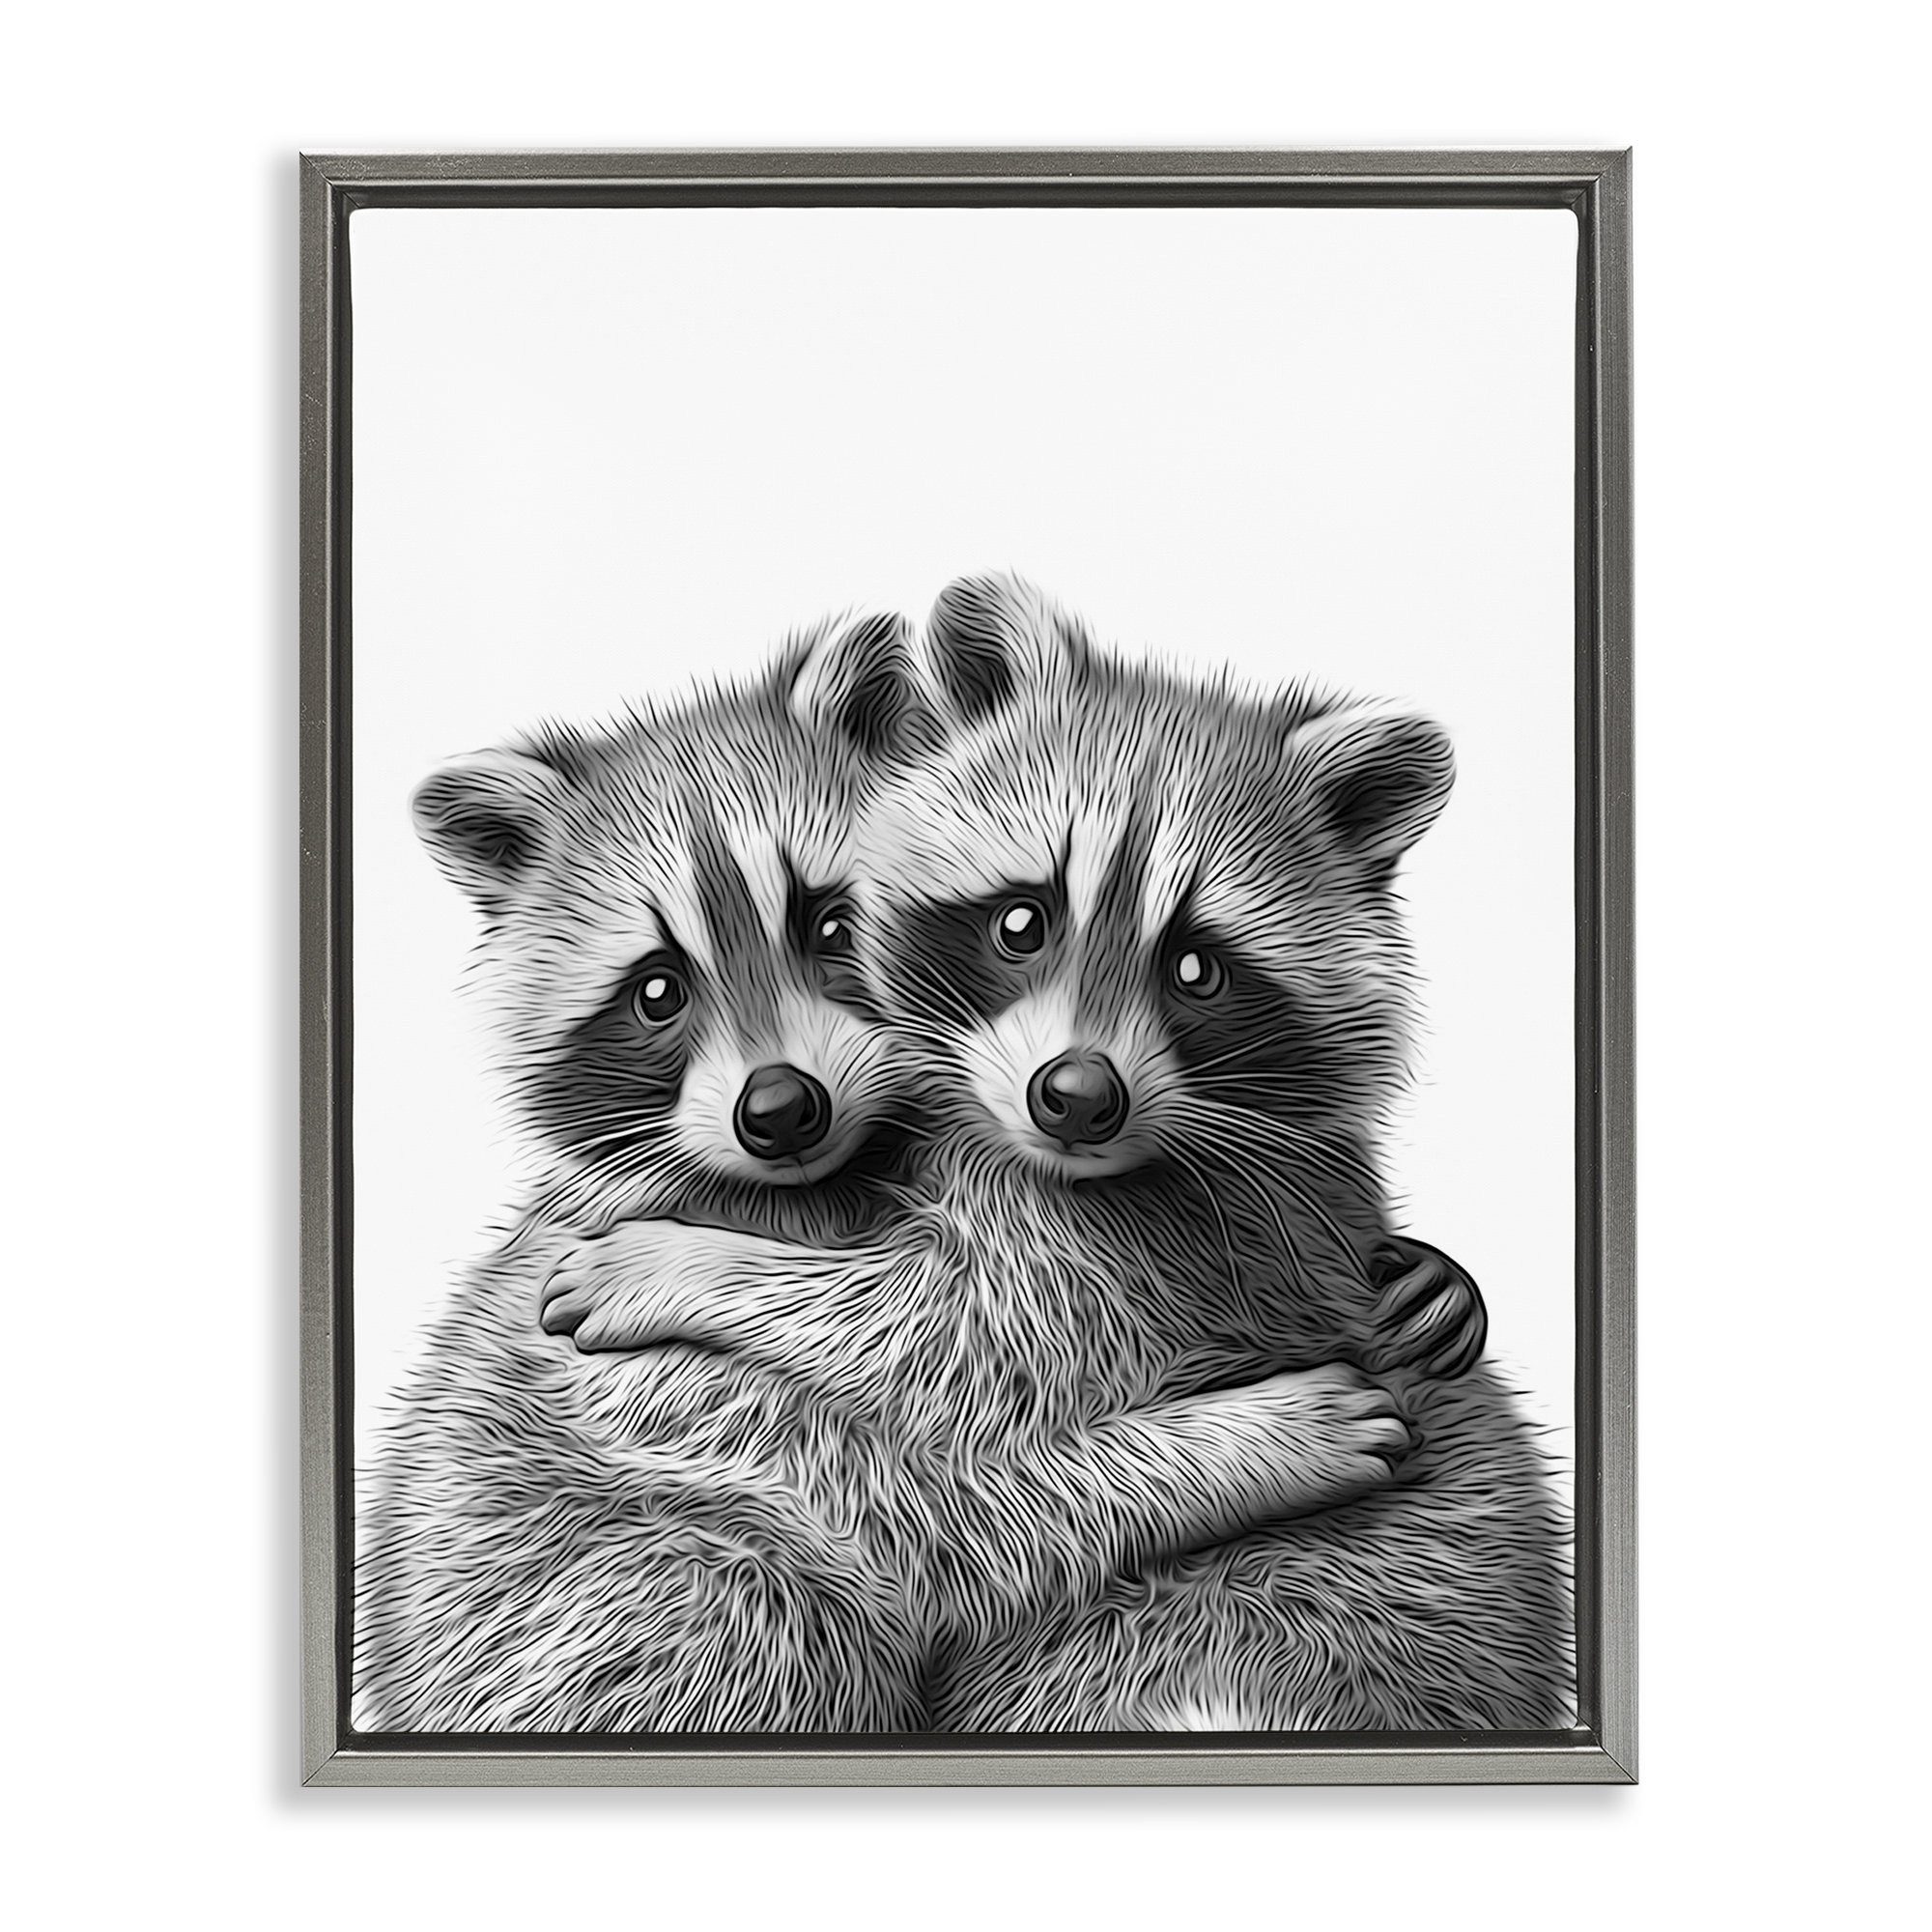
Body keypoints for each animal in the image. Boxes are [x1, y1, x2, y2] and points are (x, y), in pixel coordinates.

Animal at [356, 610, 1422, 1733]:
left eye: (829, 926)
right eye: (656, 991)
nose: (781, 1110)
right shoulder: (640, 1393)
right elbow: (929, 1517)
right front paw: (1242, 1446)